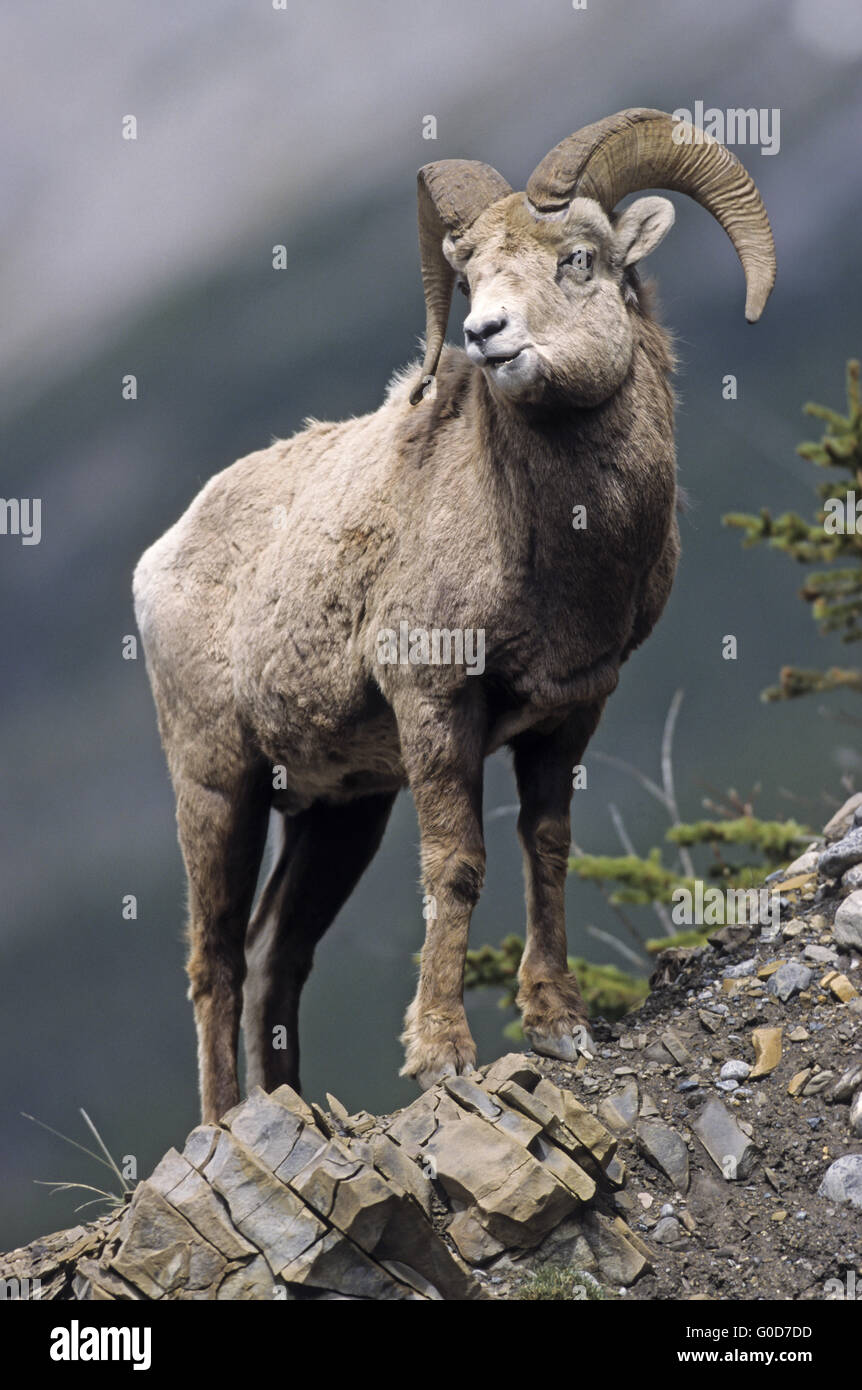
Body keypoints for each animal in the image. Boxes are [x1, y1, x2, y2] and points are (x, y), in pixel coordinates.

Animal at [133, 108, 775, 1123]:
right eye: (469, 274)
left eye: (578, 259)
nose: (485, 334)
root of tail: (159, 560)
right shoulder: (437, 702)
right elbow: (458, 868)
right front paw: (441, 1056)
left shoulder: (570, 711)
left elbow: (546, 847)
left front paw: (557, 1023)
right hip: (218, 784)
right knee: (216, 960)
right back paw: (231, 1120)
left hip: (341, 811)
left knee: (279, 954)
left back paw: (297, 1106)